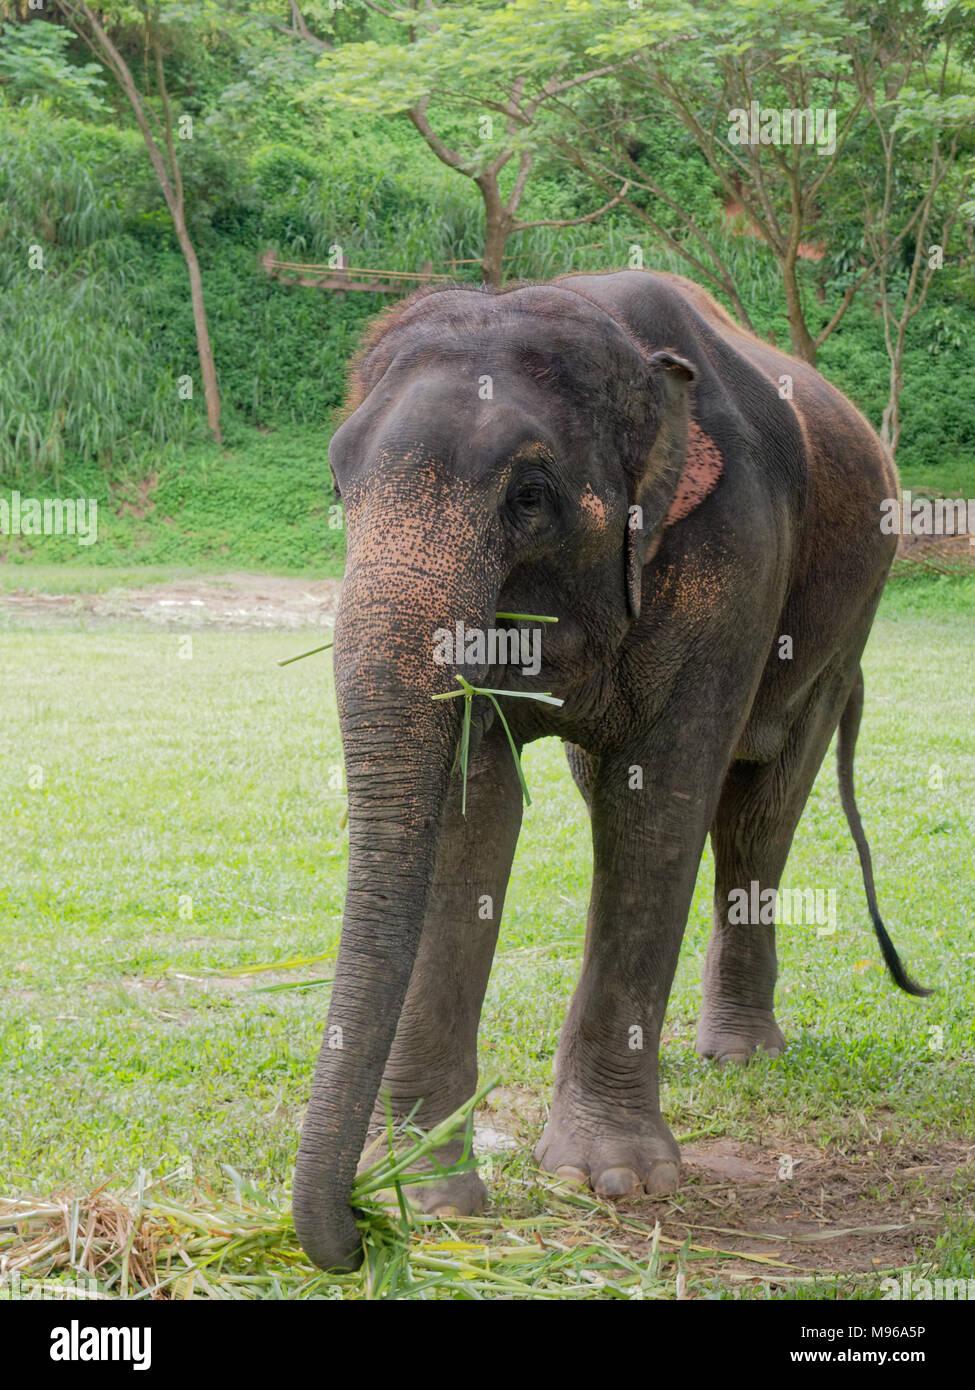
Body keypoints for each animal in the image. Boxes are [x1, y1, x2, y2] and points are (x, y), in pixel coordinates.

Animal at [291, 268, 928, 1271]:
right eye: (336, 485)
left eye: (529, 496)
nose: (354, 1234)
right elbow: (471, 810)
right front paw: (428, 1198)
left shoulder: (732, 562)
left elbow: (659, 805)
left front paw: (615, 1181)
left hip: (851, 615)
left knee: (761, 808)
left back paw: (740, 1055)